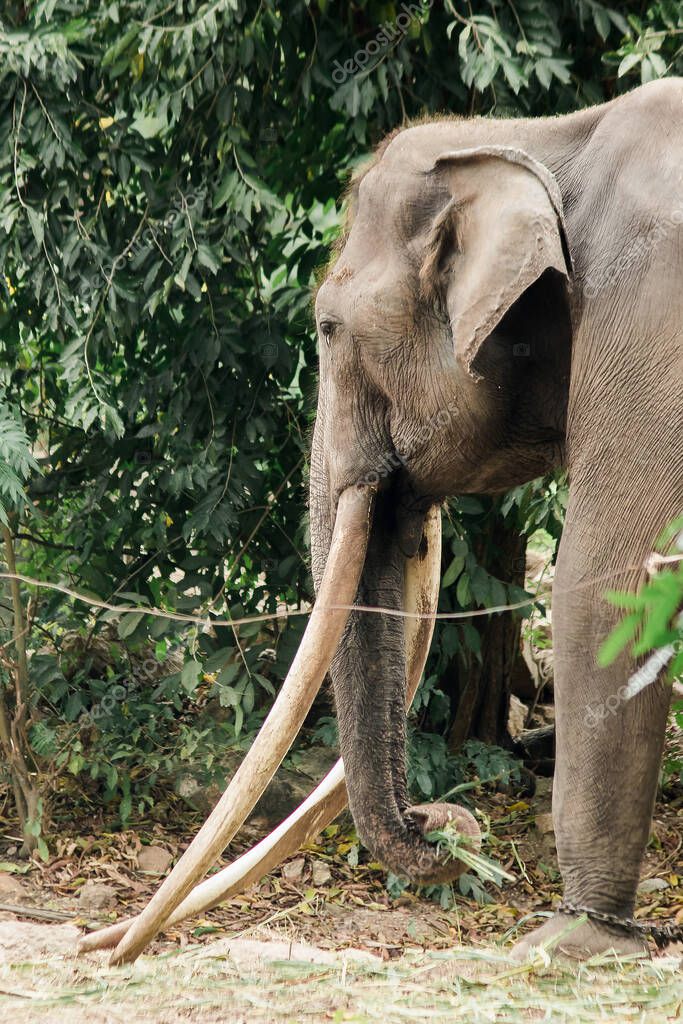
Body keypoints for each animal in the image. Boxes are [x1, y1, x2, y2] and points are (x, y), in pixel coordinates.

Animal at [309, 78, 683, 959]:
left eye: (326, 326)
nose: (450, 822)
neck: (543, 138)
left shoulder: (649, 315)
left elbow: (606, 576)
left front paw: (573, 941)